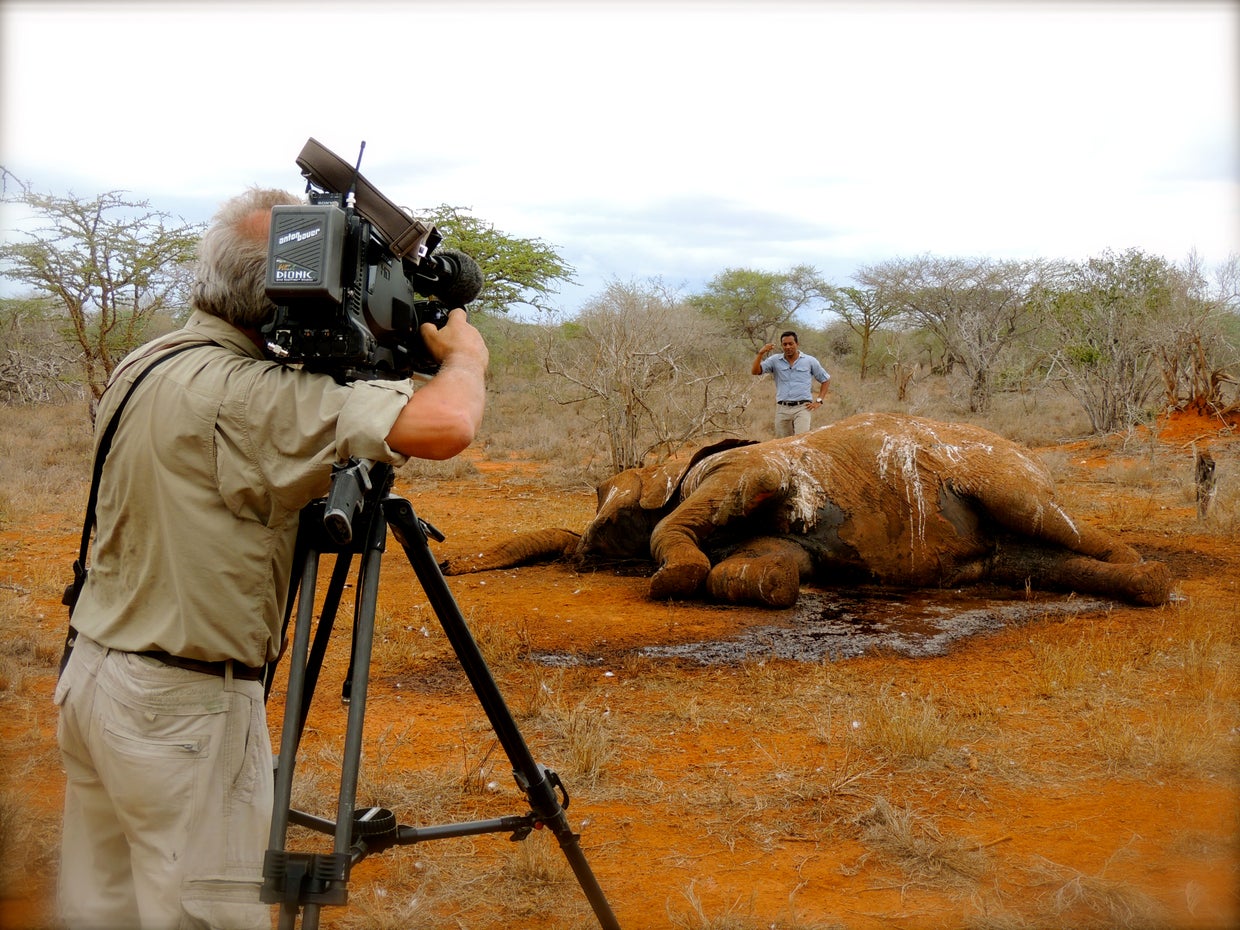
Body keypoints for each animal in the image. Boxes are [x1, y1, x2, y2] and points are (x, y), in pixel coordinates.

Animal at [441, 413, 1174, 608]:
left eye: (602, 497)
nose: (446, 564)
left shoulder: (741, 468)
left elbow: (689, 530)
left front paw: (669, 579)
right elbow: (751, 571)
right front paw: (769, 583)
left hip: (1002, 479)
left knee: (1051, 522)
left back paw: (1149, 570)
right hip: (997, 549)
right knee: (1039, 566)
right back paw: (1145, 584)